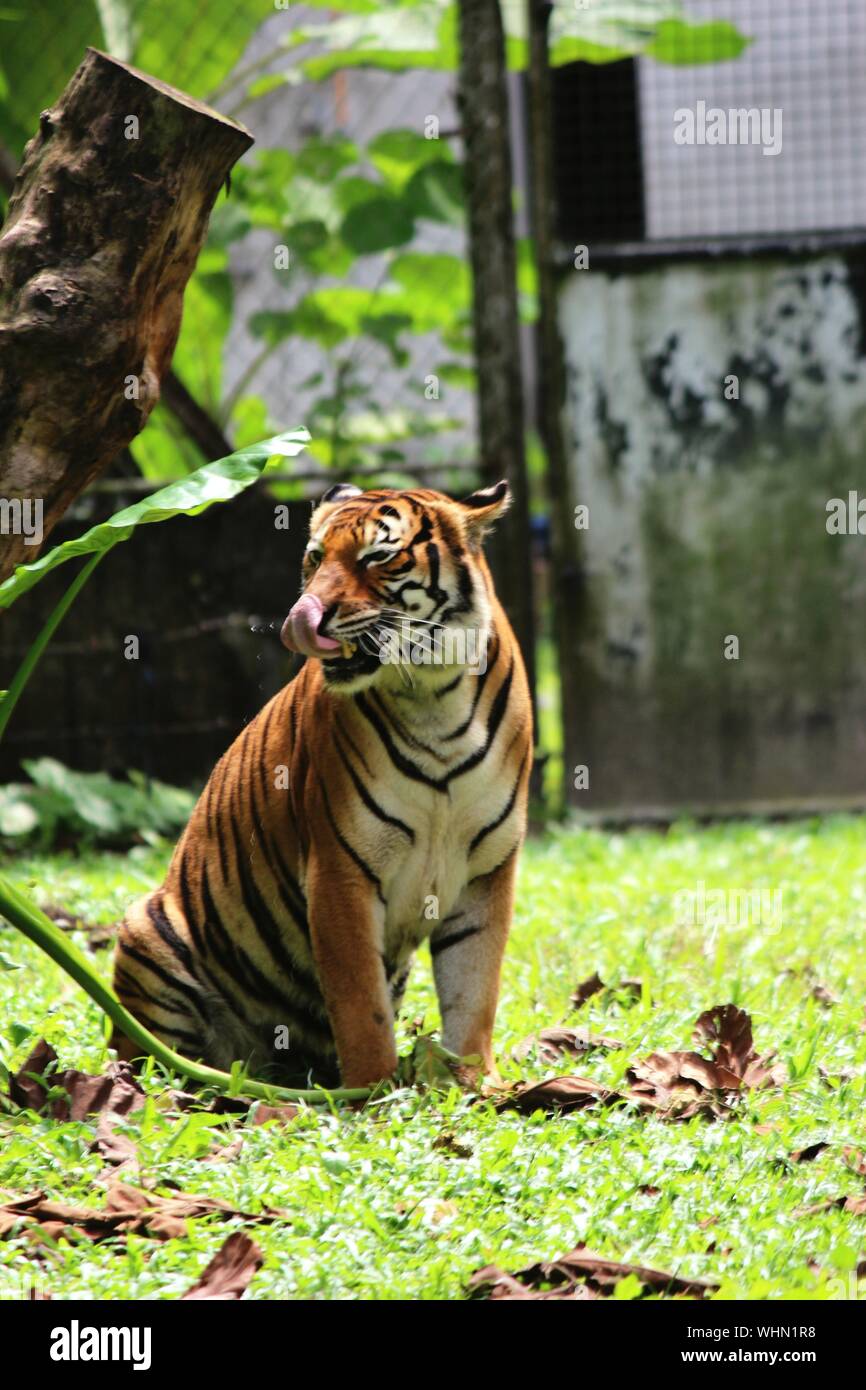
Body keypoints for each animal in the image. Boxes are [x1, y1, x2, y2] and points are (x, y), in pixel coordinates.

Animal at [111, 480, 532, 1090]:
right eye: (314, 557)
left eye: (378, 557)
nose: (302, 617)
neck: (435, 696)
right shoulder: (341, 868)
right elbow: (361, 1003)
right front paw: (373, 1091)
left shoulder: (486, 872)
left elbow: (474, 990)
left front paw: (475, 1082)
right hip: (147, 929)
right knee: (144, 1053)